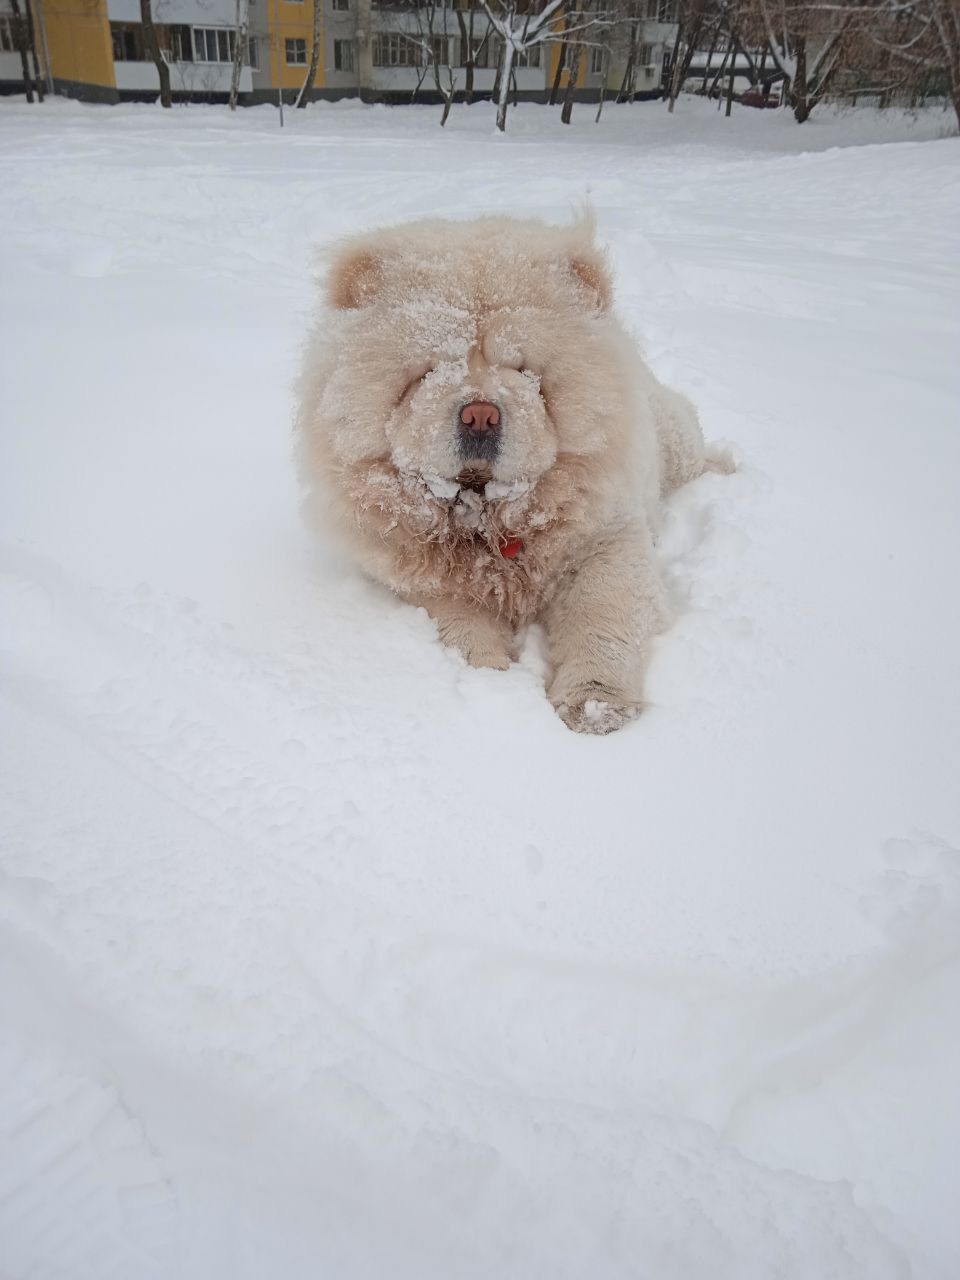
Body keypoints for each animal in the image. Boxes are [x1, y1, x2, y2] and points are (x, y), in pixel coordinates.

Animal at [295, 215, 727, 737]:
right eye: (430, 371)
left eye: (523, 371)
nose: (480, 415)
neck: (487, 518)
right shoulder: (422, 578)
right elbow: (459, 624)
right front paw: (492, 680)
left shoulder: (606, 541)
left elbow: (602, 617)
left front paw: (595, 708)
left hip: (673, 439)